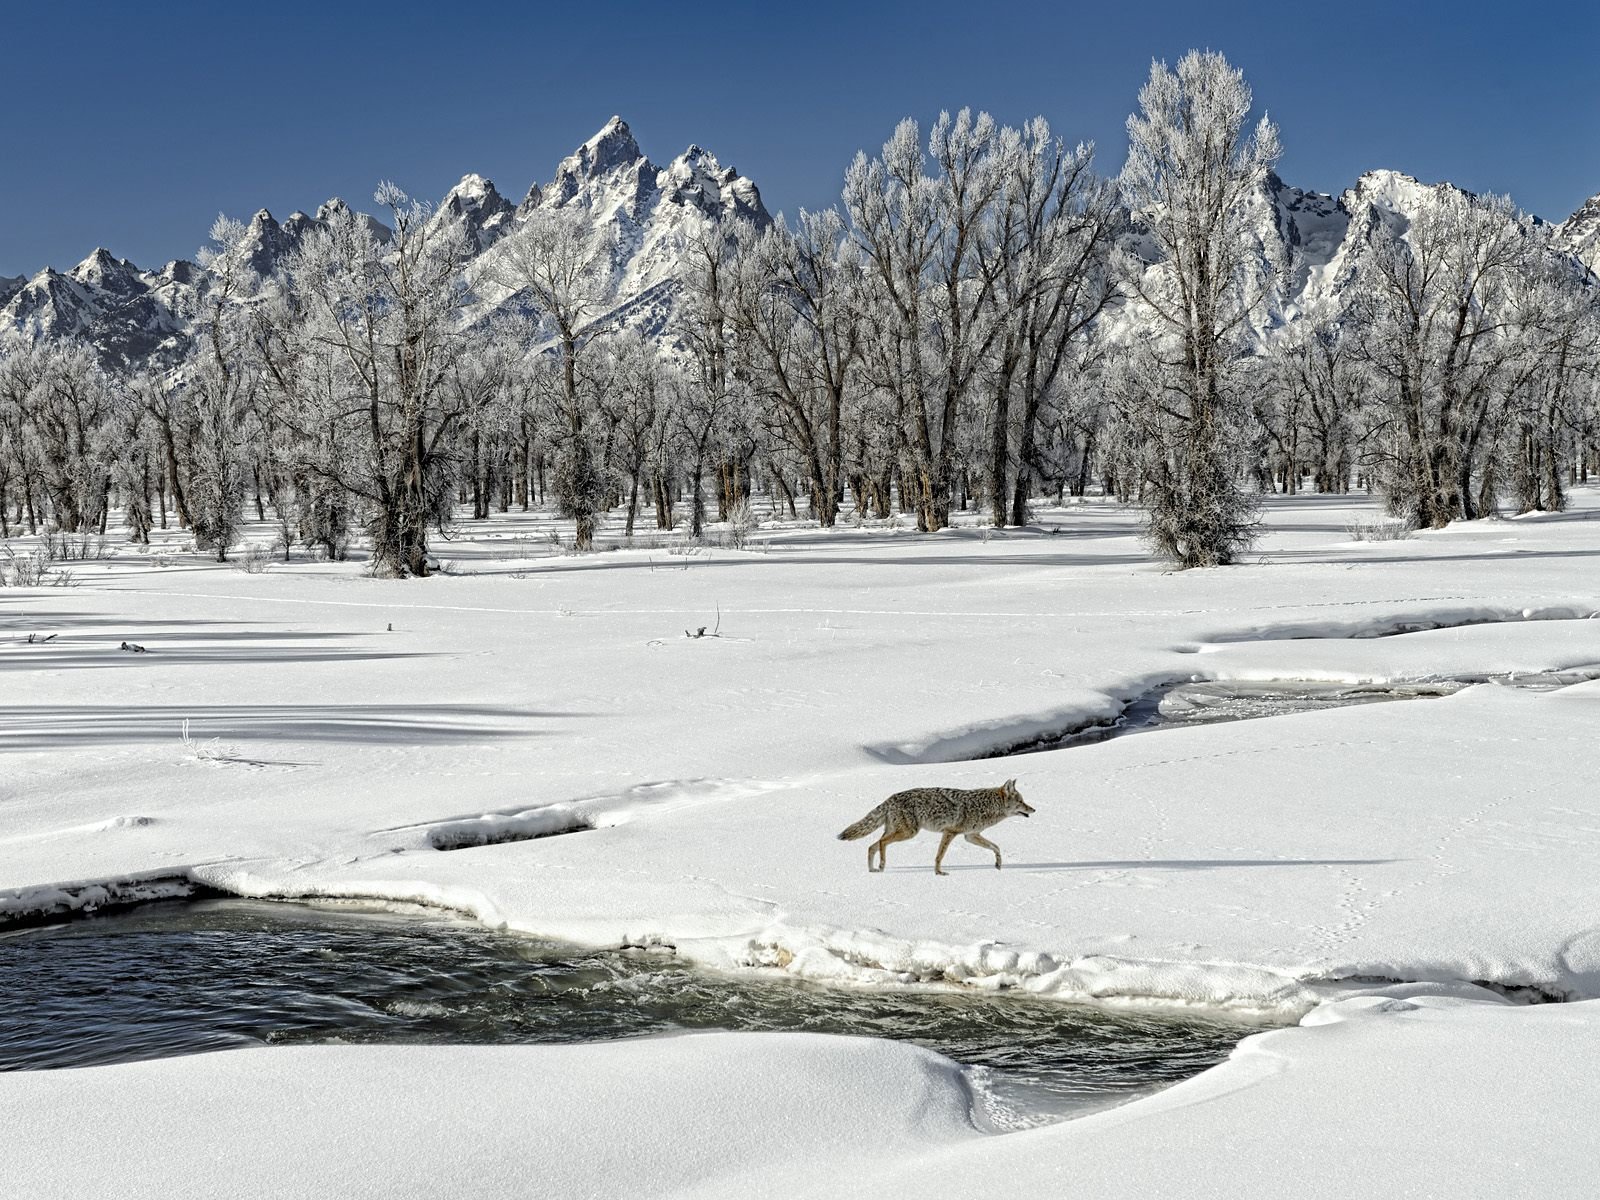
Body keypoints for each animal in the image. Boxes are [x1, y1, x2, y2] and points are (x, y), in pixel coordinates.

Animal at [837, 780, 1034, 875]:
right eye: (1021, 802)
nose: (1033, 809)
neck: (984, 806)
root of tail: (889, 798)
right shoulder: (950, 832)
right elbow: (939, 856)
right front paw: (938, 873)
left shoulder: (970, 836)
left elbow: (996, 847)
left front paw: (998, 865)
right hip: (909, 833)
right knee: (882, 843)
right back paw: (882, 865)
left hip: (899, 831)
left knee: (871, 846)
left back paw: (873, 870)